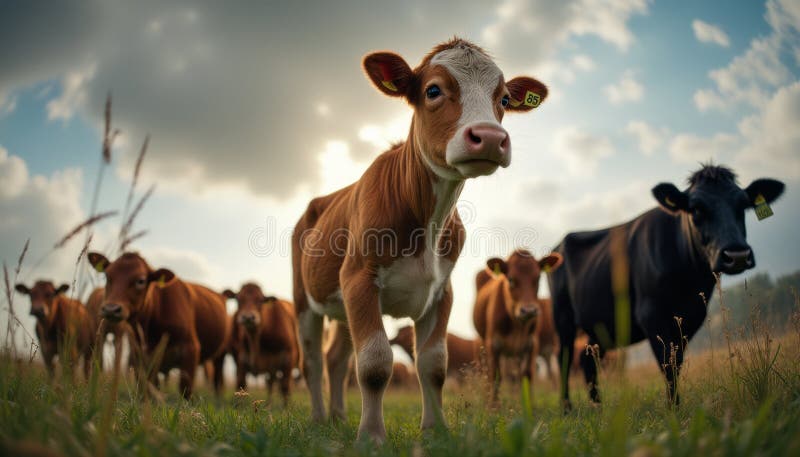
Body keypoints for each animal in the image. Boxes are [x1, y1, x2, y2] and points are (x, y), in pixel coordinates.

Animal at [86, 252, 230, 399]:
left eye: (141, 281)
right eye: (107, 276)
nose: (111, 309)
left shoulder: (191, 349)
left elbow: (185, 389)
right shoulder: (140, 359)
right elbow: (148, 390)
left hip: (220, 355)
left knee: (217, 380)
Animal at [292, 38, 547, 441]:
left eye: (505, 98)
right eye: (433, 90)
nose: (490, 138)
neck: (428, 219)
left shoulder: (441, 291)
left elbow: (434, 364)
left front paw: (435, 429)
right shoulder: (358, 278)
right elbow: (375, 362)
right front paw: (372, 437)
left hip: (342, 309)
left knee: (336, 361)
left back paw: (338, 417)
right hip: (305, 299)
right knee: (313, 359)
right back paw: (319, 418)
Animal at [472, 250, 562, 401]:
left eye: (538, 278)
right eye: (511, 279)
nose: (529, 310)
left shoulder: (532, 344)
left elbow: (527, 376)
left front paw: (528, 404)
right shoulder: (493, 344)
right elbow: (495, 377)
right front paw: (493, 406)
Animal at [549, 165, 784, 410]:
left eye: (743, 205)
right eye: (696, 209)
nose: (737, 255)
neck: (688, 280)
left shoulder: (691, 317)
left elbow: (676, 361)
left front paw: (675, 406)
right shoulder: (651, 314)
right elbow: (667, 364)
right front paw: (674, 410)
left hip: (601, 324)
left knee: (588, 359)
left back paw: (598, 407)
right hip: (563, 317)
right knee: (564, 357)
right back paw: (567, 408)